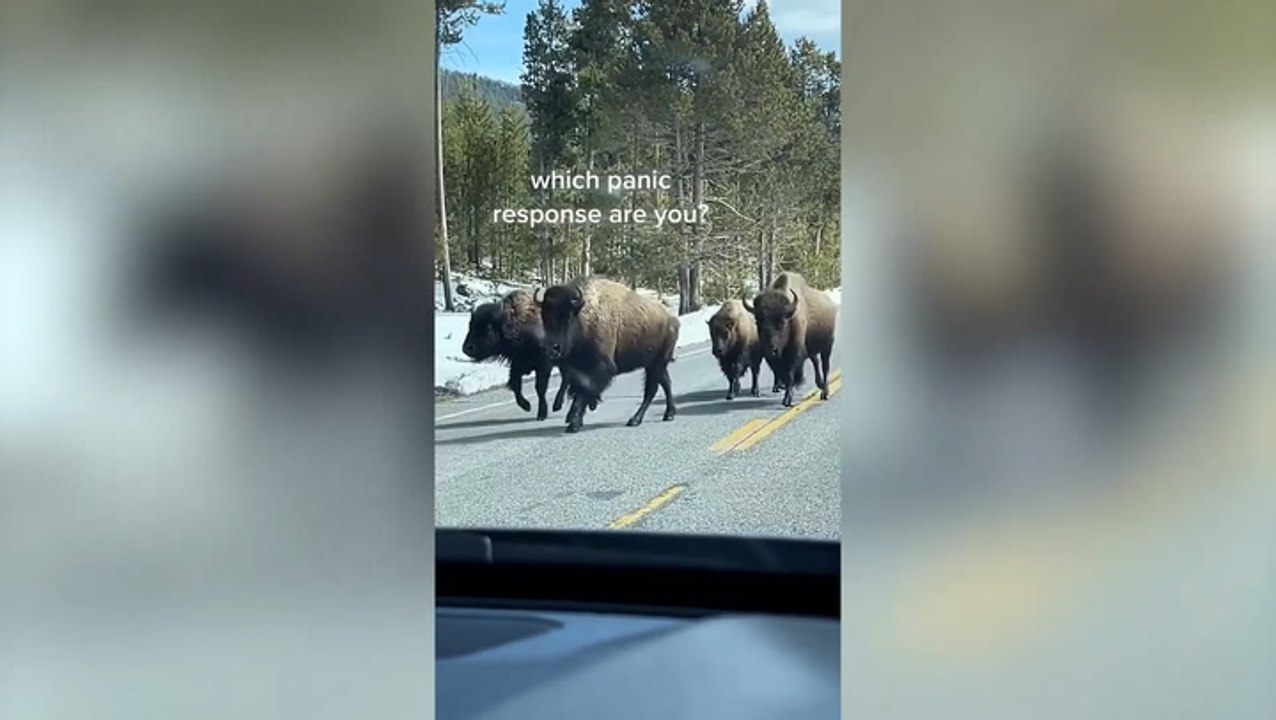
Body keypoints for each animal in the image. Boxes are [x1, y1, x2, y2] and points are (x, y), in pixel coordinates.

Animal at [538, 277, 680, 433]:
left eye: (568, 316)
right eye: (544, 316)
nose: (553, 349)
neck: (584, 317)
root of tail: (671, 319)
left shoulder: (602, 367)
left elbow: (584, 390)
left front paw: (574, 423)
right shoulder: (576, 369)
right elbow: (577, 390)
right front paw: (577, 417)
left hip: (656, 364)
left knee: (652, 389)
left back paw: (635, 419)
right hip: (654, 365)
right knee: (665, 383)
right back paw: (668, 414)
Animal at [745, 272, 837, 407]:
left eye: (782, 322)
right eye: (758, 322)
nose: (772, 350)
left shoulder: (794, 354)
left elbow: (789, 374)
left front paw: (788, 399)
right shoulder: (774, 360)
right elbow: (782, 373)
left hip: (827, 347)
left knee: (825, 367)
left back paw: (825, 392)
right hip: (812, 350)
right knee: (816, 362)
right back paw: (820, 385)